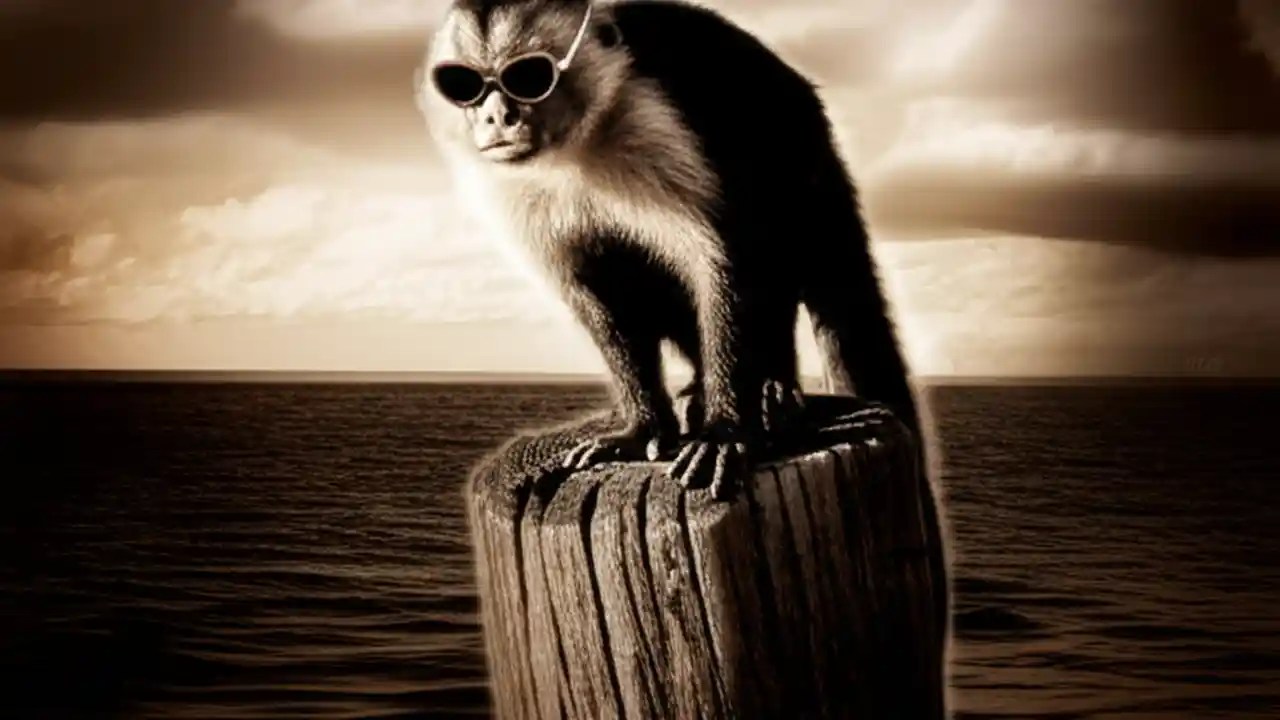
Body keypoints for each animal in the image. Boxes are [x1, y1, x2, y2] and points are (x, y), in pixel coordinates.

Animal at [416, 0, 927, 504]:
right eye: (466, 86)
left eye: (528, 75)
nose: (496, 116)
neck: (576, 147)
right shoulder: (507, 187)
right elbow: (595, 295)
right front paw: (640, 430)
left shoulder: (656, 122)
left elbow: (721, 260)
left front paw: (726, 430)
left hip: (803, 161)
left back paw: (771, 386)